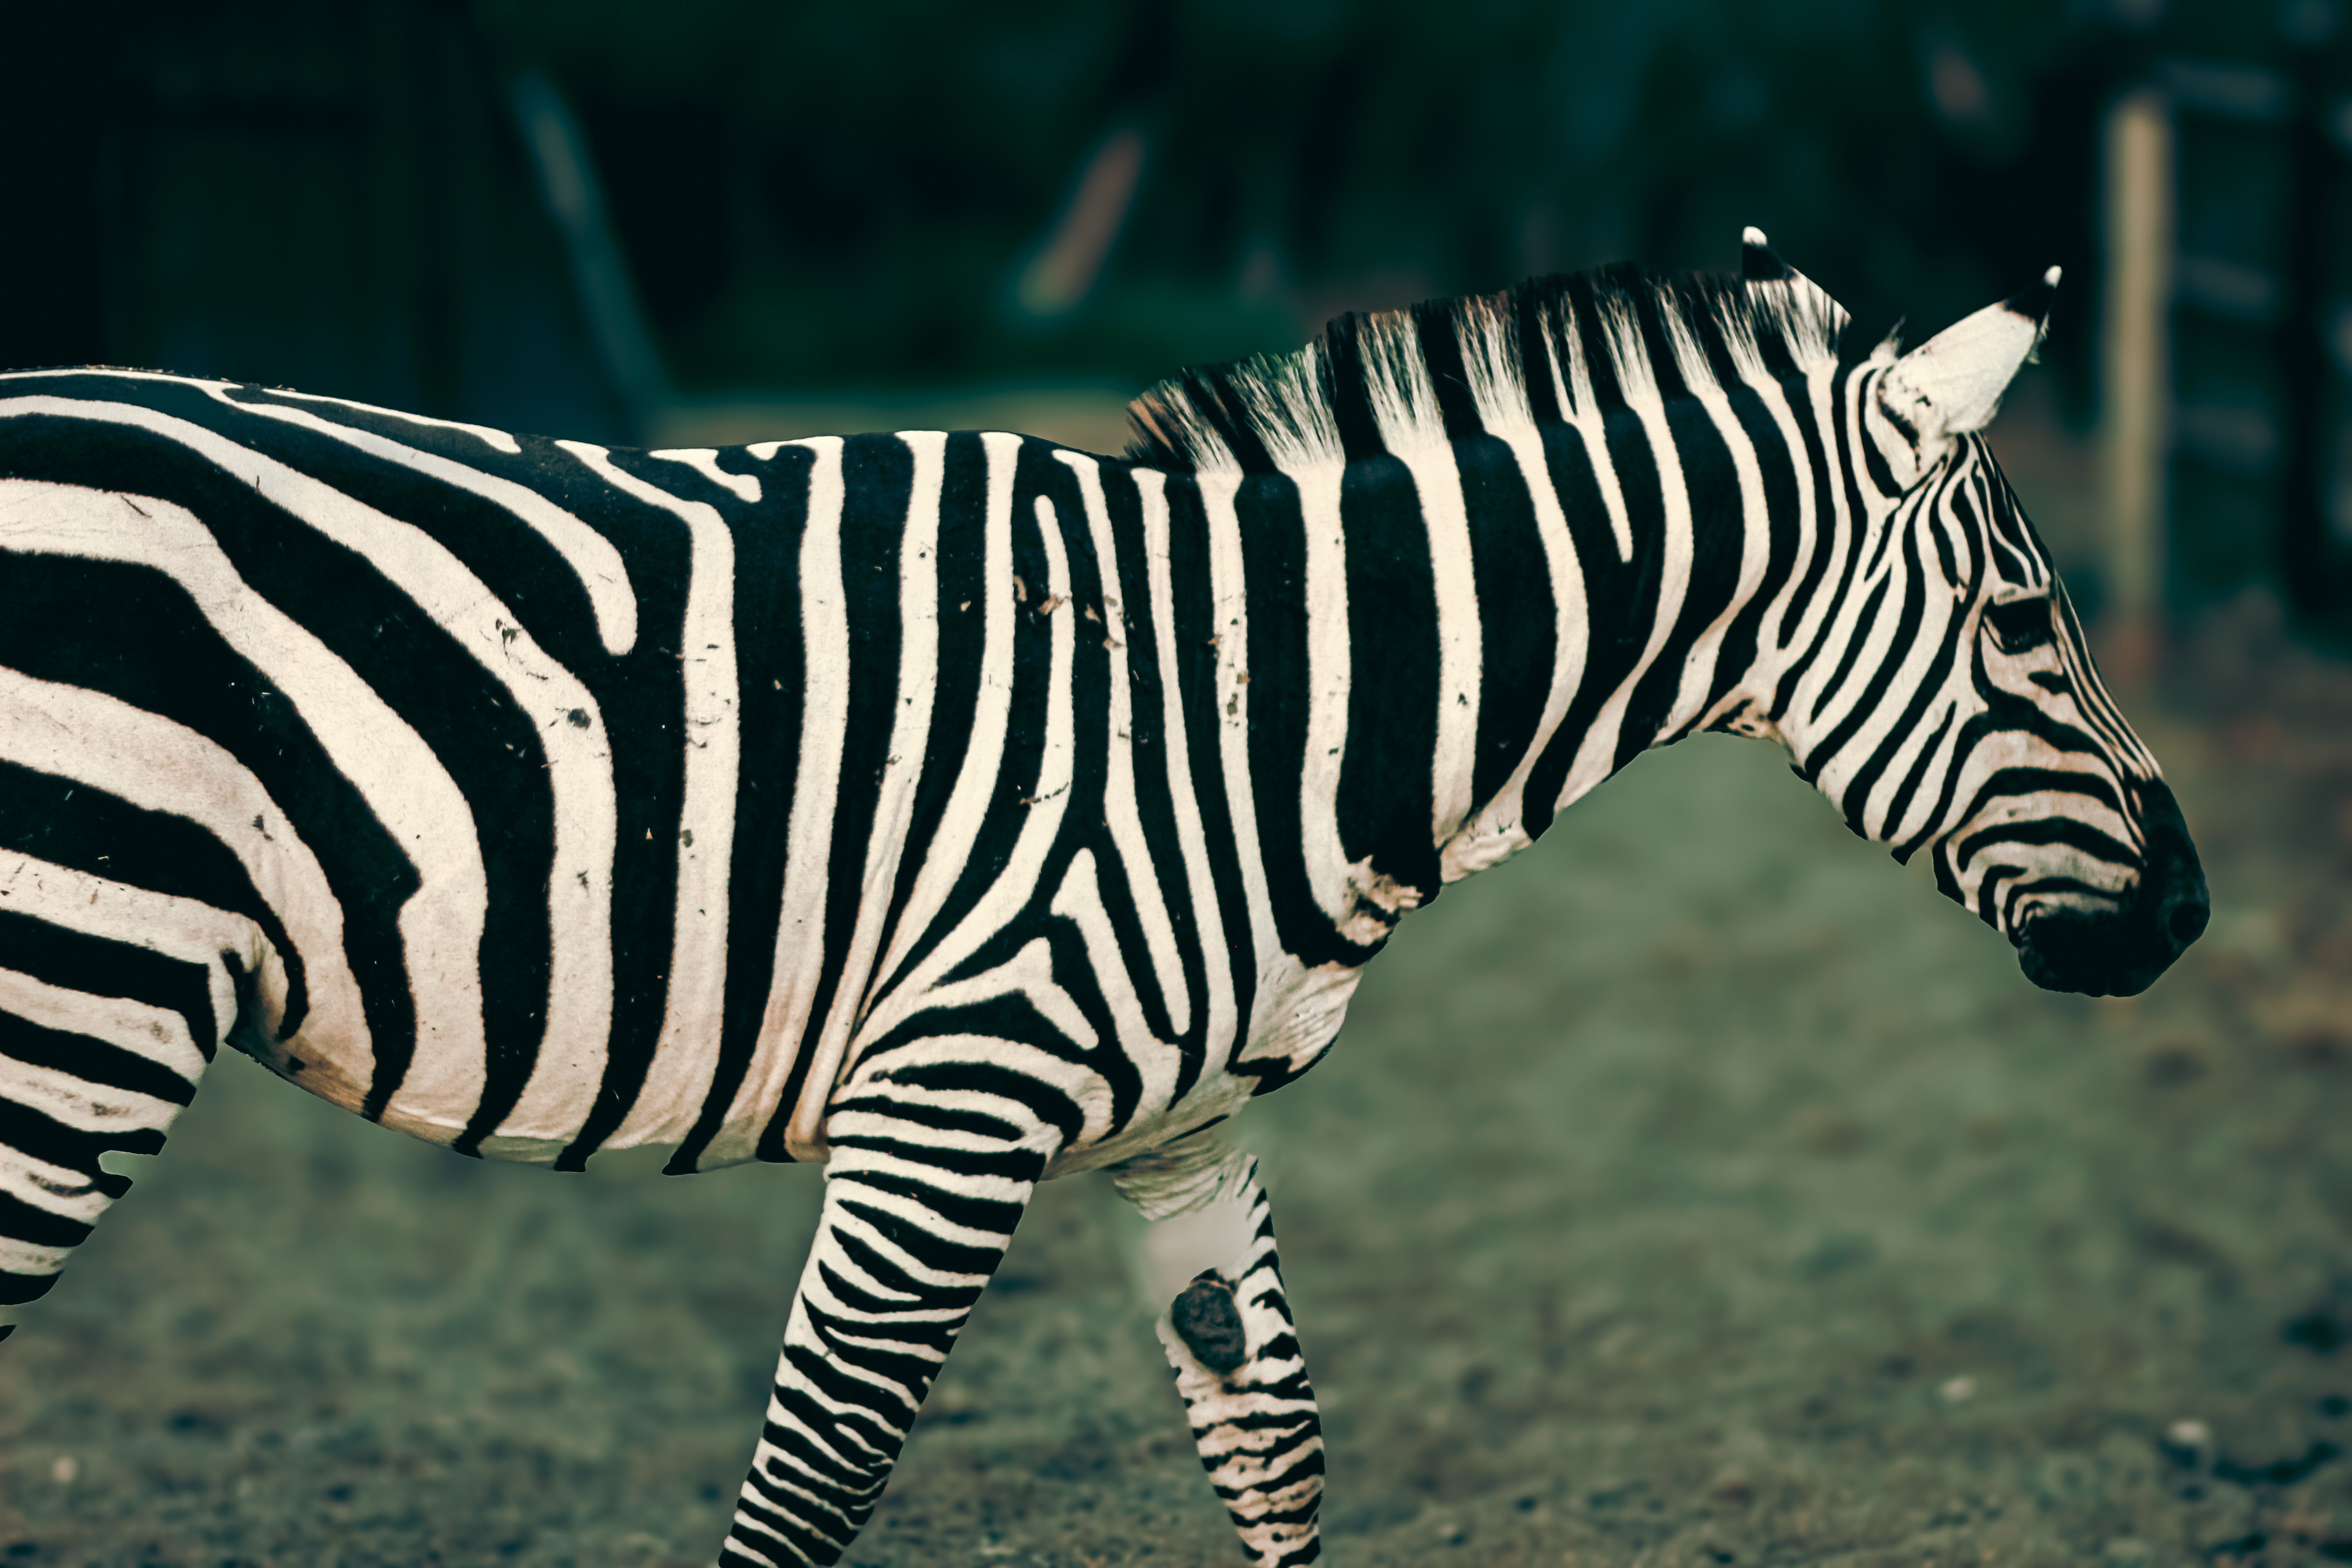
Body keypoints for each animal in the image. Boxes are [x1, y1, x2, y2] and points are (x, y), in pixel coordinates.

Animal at [0, 229, 2205, 1567]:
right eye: (2026, 619)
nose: (2189, 917)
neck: (1264, 704)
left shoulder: (1186, 1123)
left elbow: (1276, 1443)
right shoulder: (945, 1108)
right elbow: (809, 1490)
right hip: (78, 994)